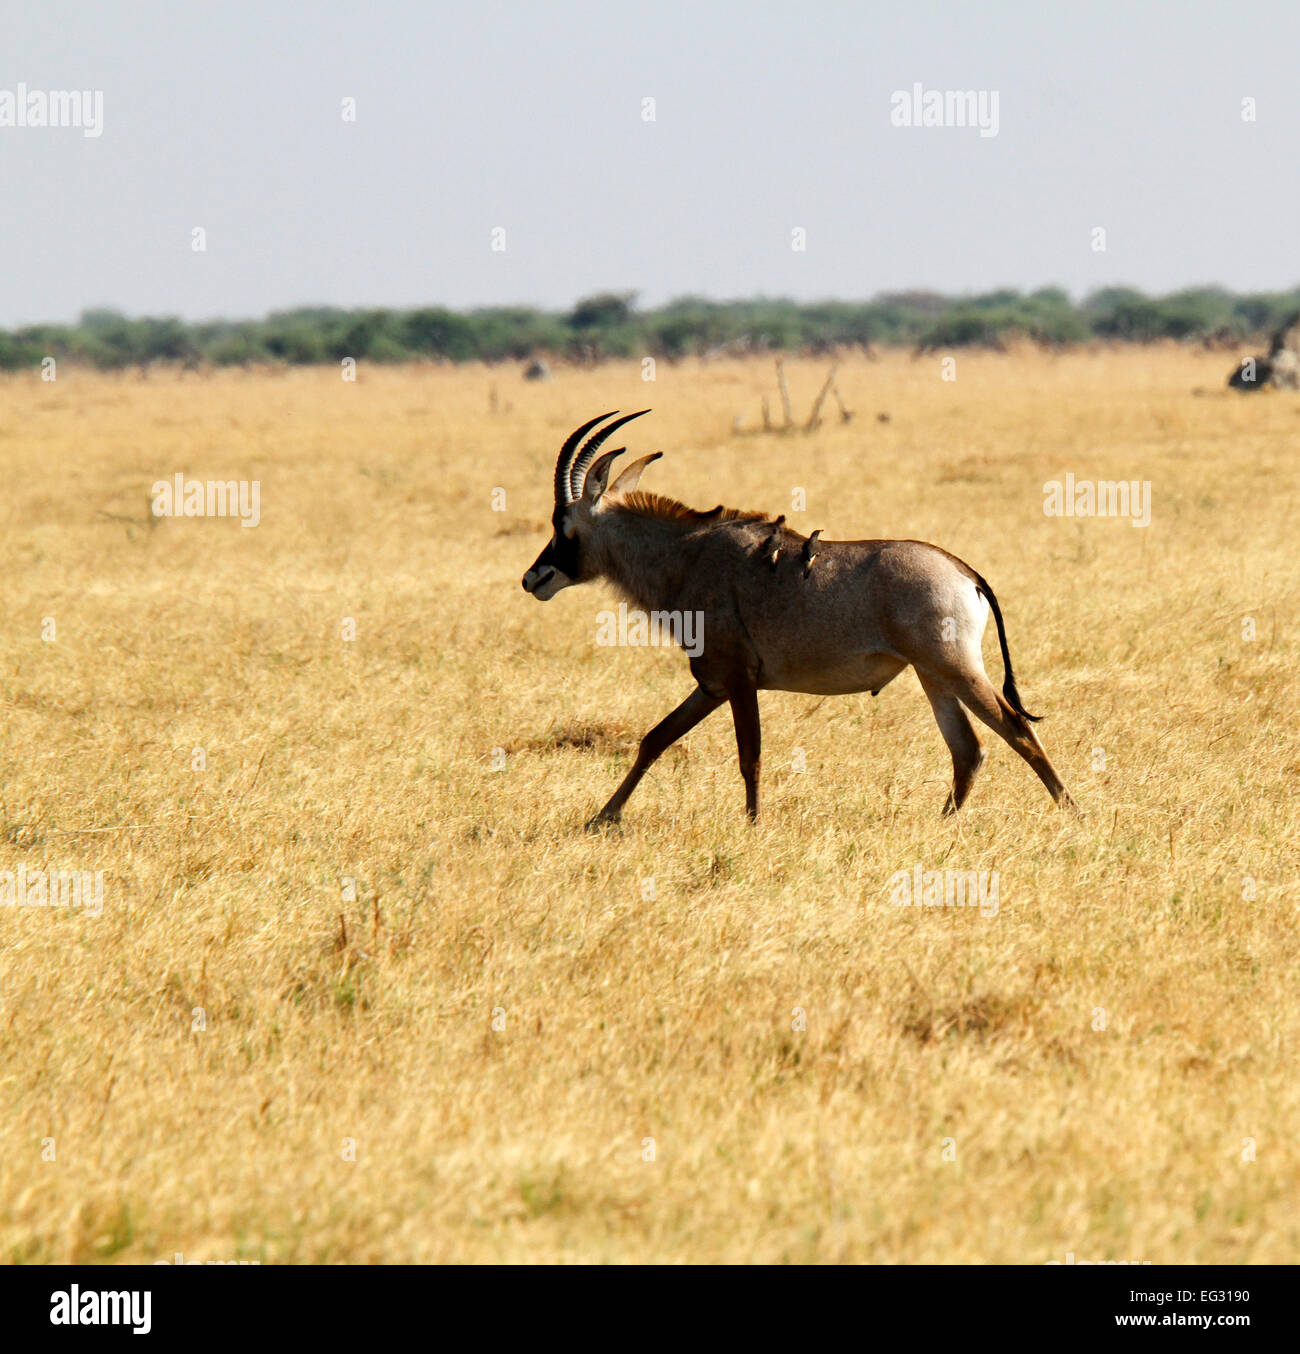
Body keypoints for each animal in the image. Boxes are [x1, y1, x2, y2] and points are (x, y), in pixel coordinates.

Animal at [522, 411, 1077, 828]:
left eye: (563, 524)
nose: (534, 578)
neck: (688, 556)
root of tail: (965, 571)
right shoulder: (711, 684)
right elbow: (655, 739)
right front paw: (601, 818)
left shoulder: (738, 680)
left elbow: (750, 754)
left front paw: (752, 825)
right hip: (932, 676)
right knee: (968, 749)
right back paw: (944, 823)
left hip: (954, 668)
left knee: (1015, 730)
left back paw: (1071, 812)